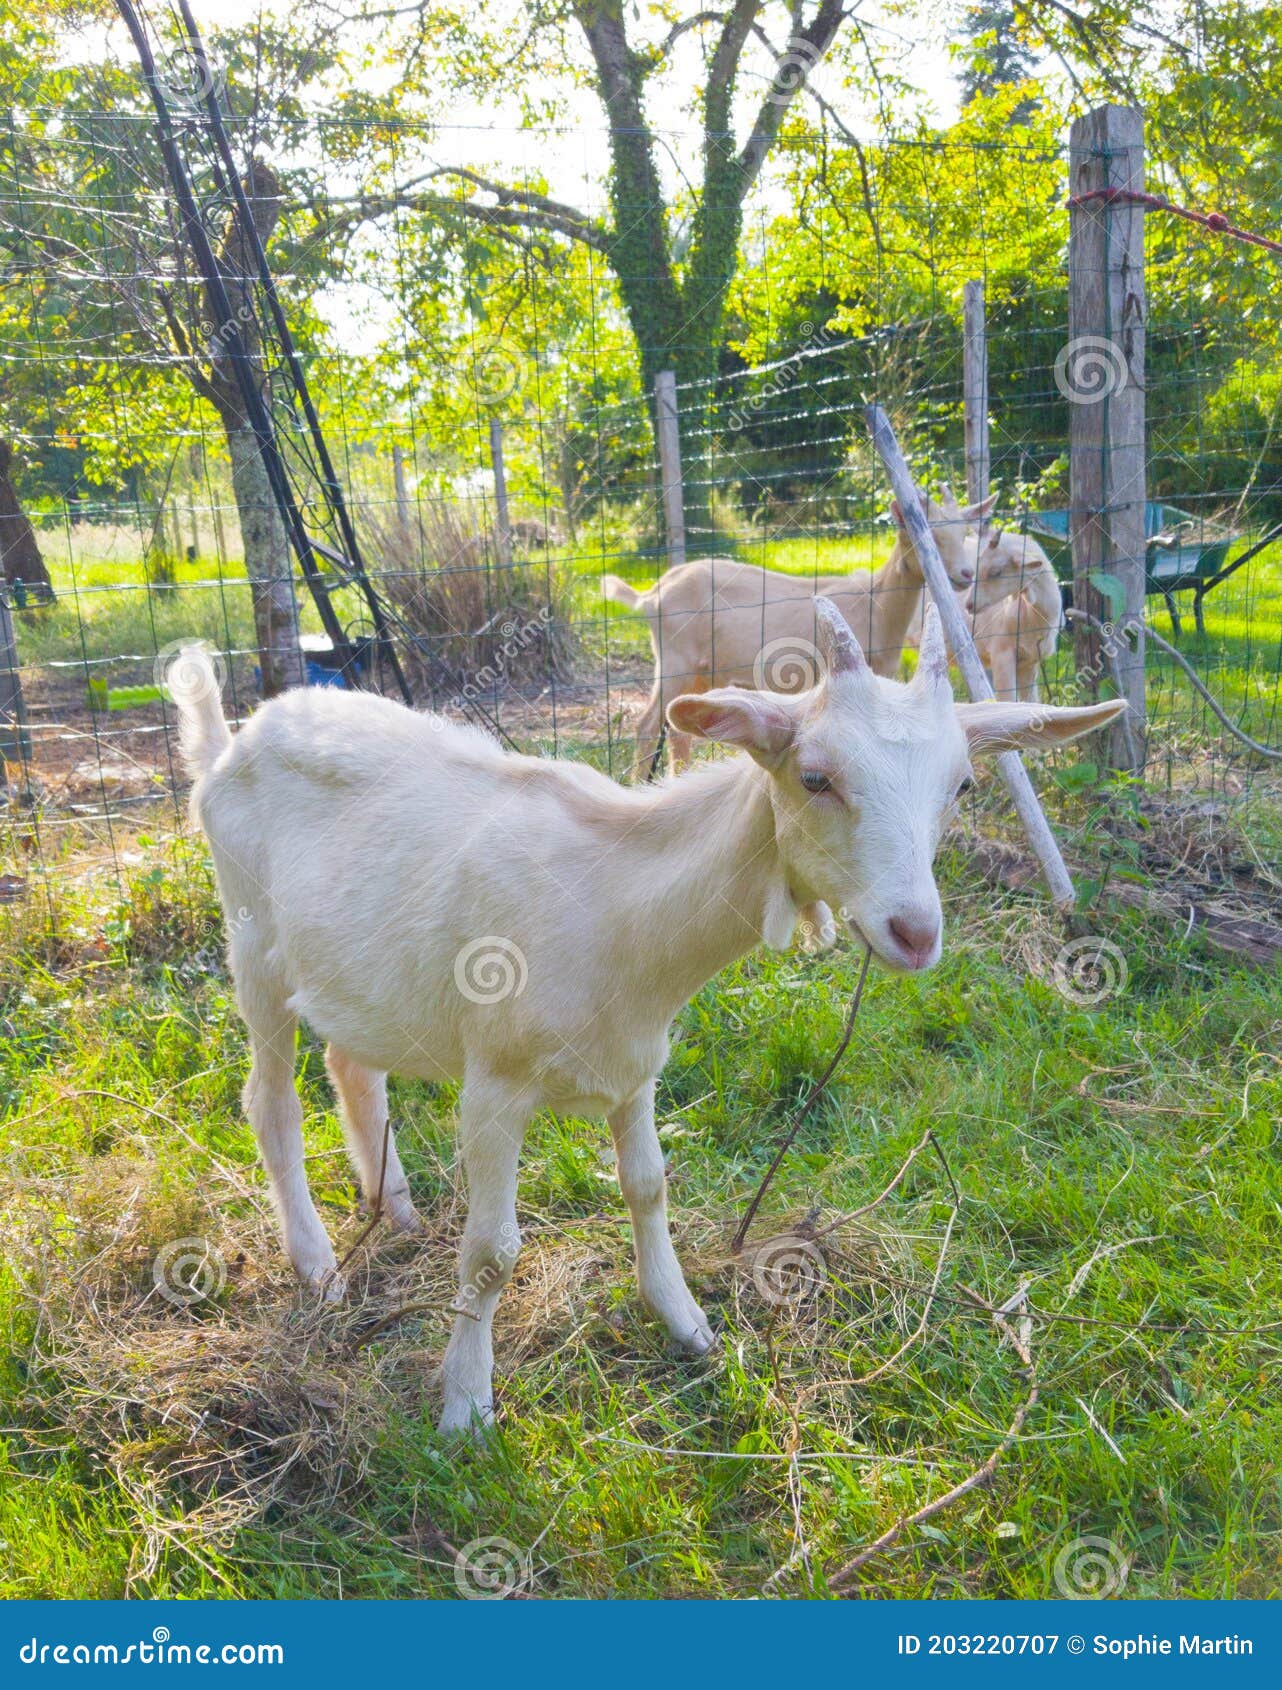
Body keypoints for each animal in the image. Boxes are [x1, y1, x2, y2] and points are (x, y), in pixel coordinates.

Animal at [171, 609, 1123, 1434]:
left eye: (961, 784)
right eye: (815, 777)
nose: (914, 932)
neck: (617, 907)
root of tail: (231, 743)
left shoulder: (636, 1068)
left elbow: (649, 1186)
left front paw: (688, 1325)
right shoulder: (495, 1082)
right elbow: (492, 1253)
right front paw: (465, 1409)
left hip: (356, 965)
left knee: (355, 1068)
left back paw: (394, 1209)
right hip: (253, 943)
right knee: (271, 1102)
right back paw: (318, 1265)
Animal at [603, 486, 996, 779]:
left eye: (965, 533)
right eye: (925, 536)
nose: (965, 574)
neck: (877, 605)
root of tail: (652, 593)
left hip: (701, 670)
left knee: (676, 730)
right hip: (674, 659)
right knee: (647, 725)